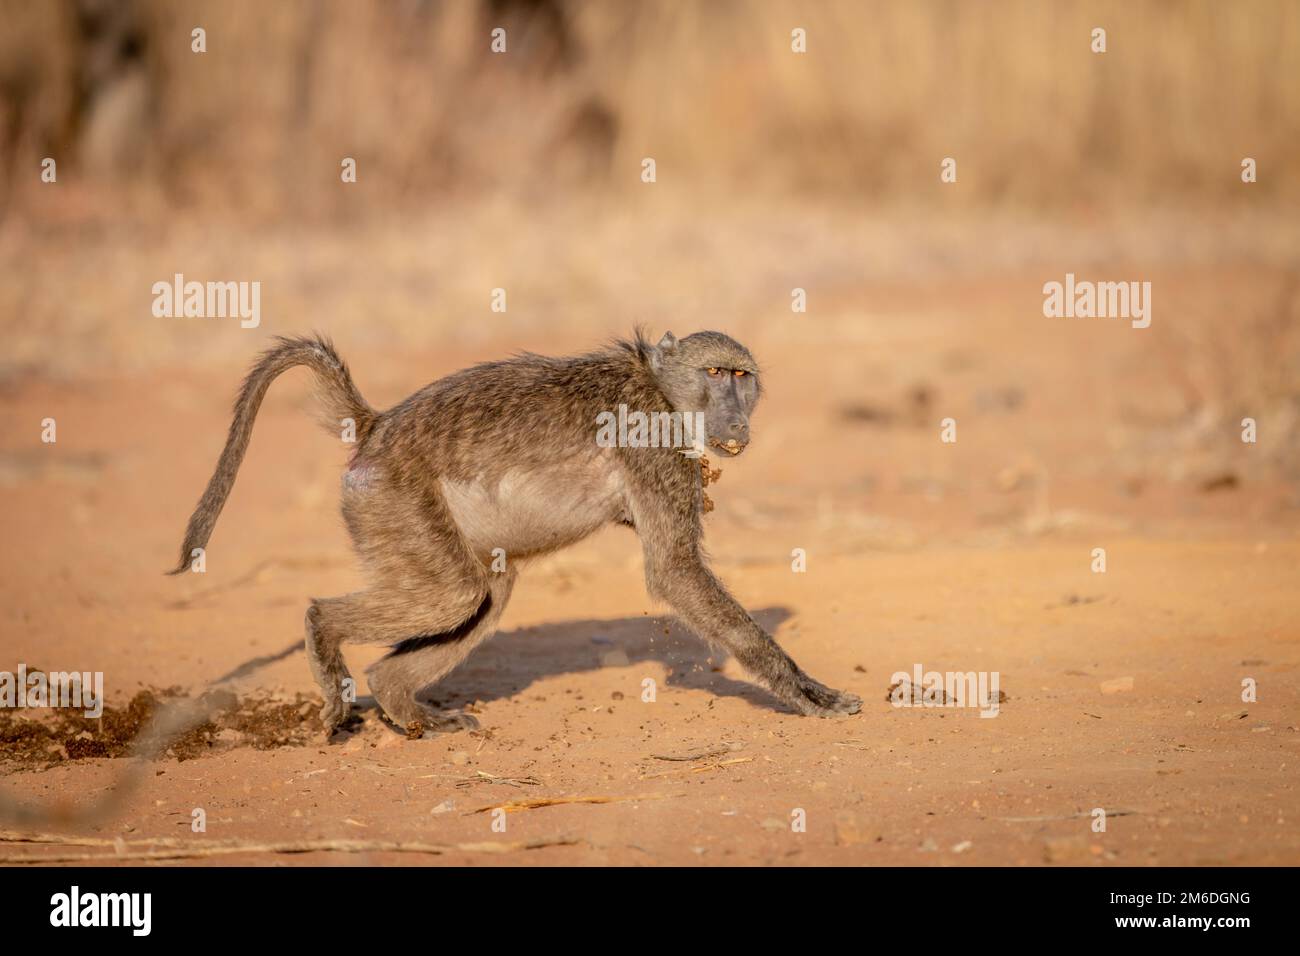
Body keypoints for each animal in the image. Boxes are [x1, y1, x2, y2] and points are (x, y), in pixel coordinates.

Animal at [170, 330, 863, 737]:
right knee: (450, 594)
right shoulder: (653, 442)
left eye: (744, 378)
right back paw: (327, 640)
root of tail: (376, 426)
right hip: (391, 499)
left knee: (484, 593)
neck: (661, 387)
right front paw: (806, 692)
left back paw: (402, 705)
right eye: (717, 374)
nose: (737, 421)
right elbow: (674, 571)